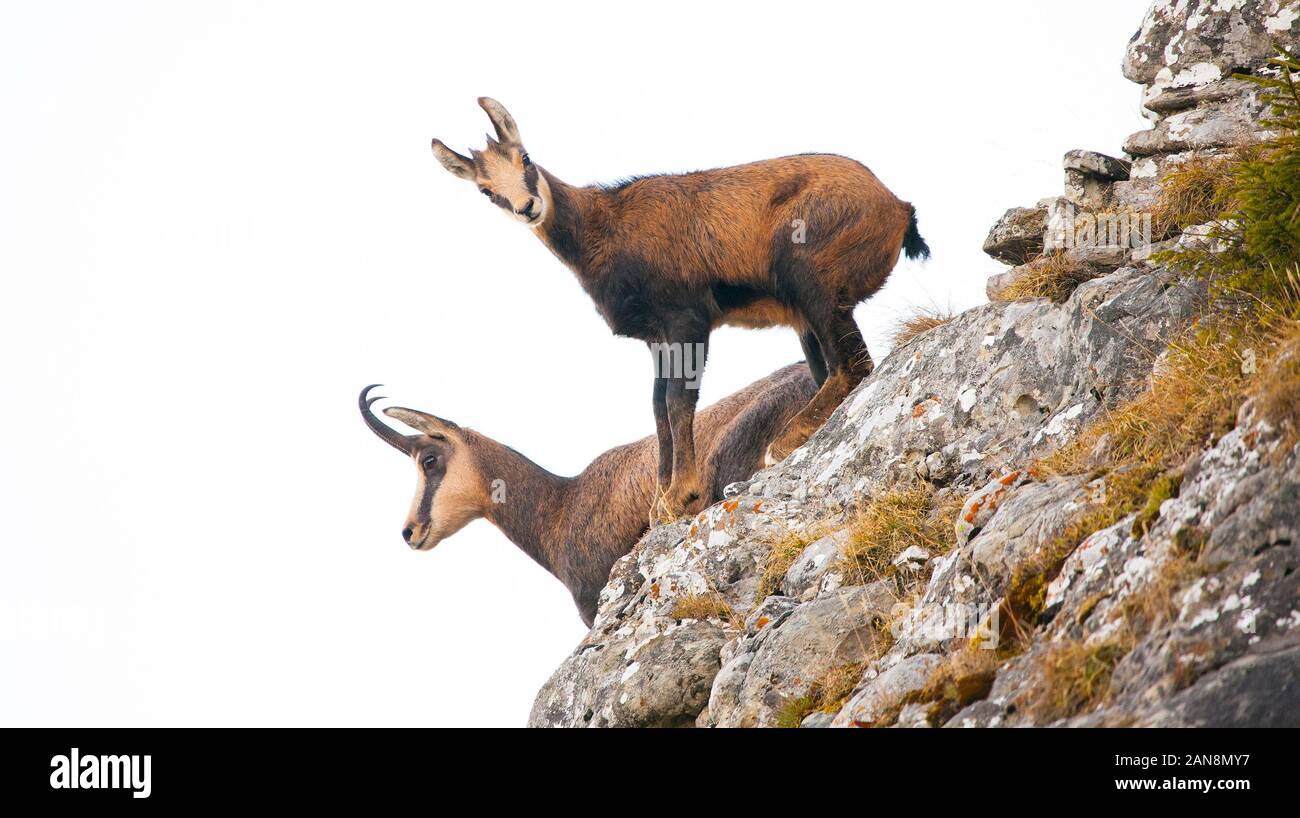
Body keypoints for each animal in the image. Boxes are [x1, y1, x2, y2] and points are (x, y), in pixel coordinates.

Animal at [430, 98, 929, 521]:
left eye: (526, 158)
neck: (603, 228)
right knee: (836, 367)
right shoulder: (657, 338)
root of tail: (897, 207)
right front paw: (660, 501)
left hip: (811, 282)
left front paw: (679, 496)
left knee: (852, 364)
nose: (528, 207)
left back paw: (782, 442)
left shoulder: (688, 320)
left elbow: (677, 400)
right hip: (805, 313)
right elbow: (656, 408)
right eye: (484, 189)